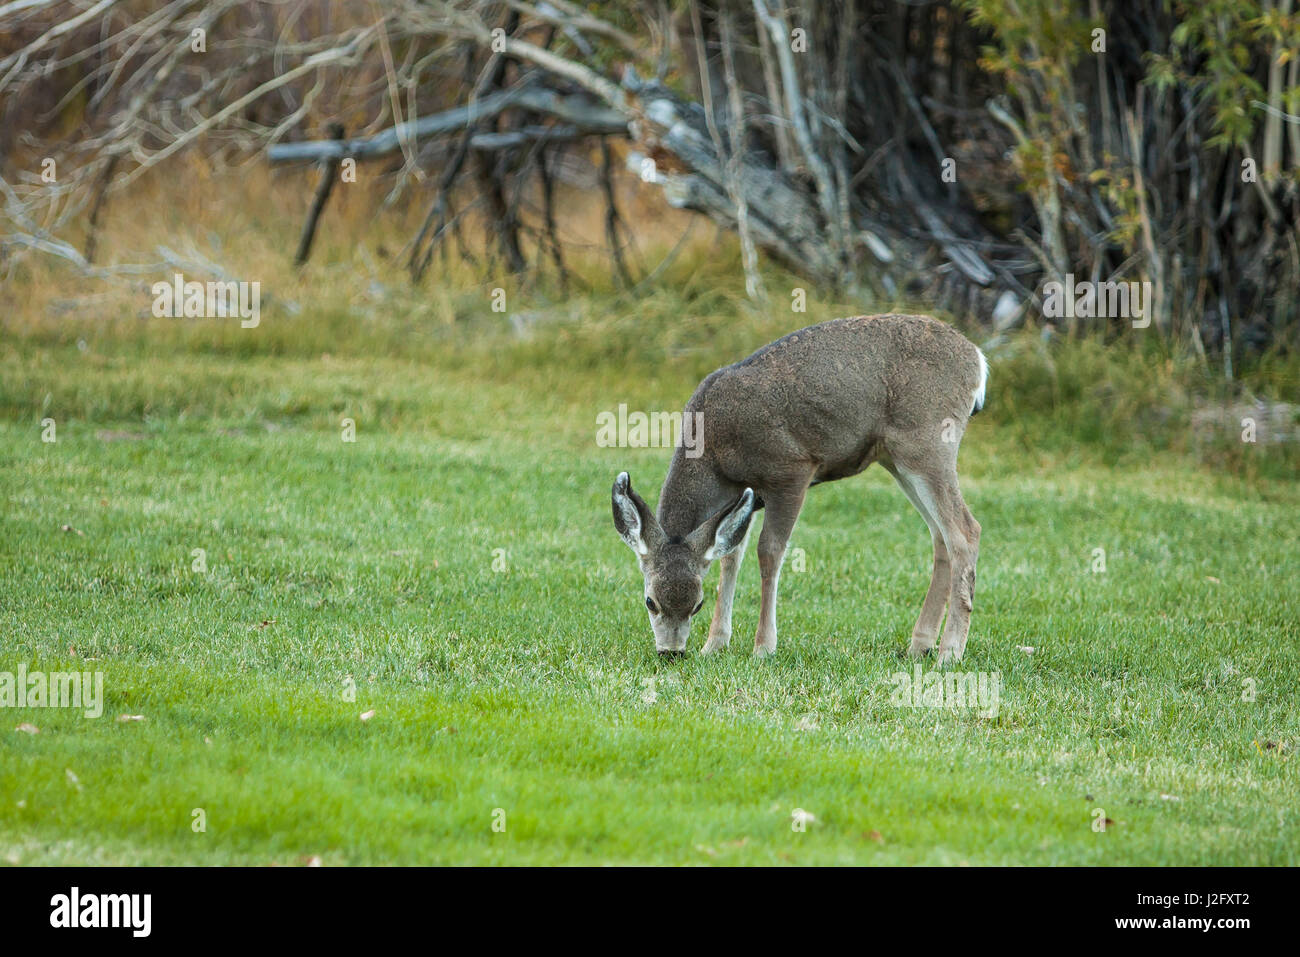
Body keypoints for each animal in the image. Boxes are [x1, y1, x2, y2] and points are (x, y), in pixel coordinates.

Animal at [611, 313, 988, 664]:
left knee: (965, 530)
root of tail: (977, 361)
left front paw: (763, 647)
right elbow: (731, 556)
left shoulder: (791, 469)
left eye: (697, 604)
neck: (715, 454)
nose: (671, 652)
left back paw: (950, 652)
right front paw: (714, 645)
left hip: (927, 442)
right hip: (897, 459)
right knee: (939, 535)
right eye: (650, 601)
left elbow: (769, 551)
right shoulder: (744, 494)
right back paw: (920, 645)